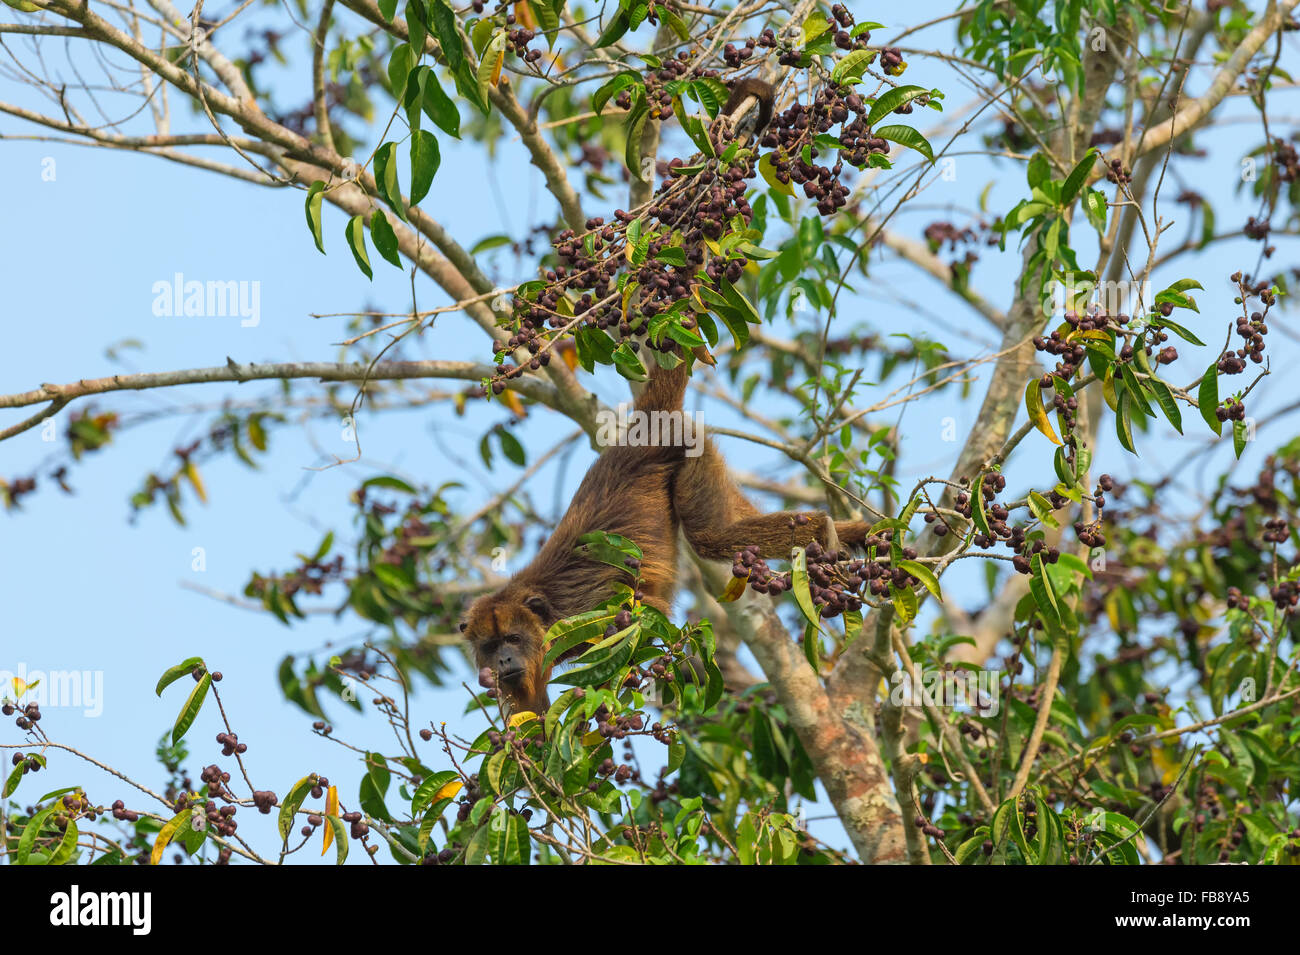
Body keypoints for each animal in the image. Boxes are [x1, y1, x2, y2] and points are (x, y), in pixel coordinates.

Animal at [460, 355, 871, 716]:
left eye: (513, 639)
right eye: (491, 645)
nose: (504, 660)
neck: (544, 618)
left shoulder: (585, 614)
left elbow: (640, 619)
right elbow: (531, 717)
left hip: (688, 450)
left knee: (709, 537)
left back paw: (821, 527)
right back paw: (855, 533)